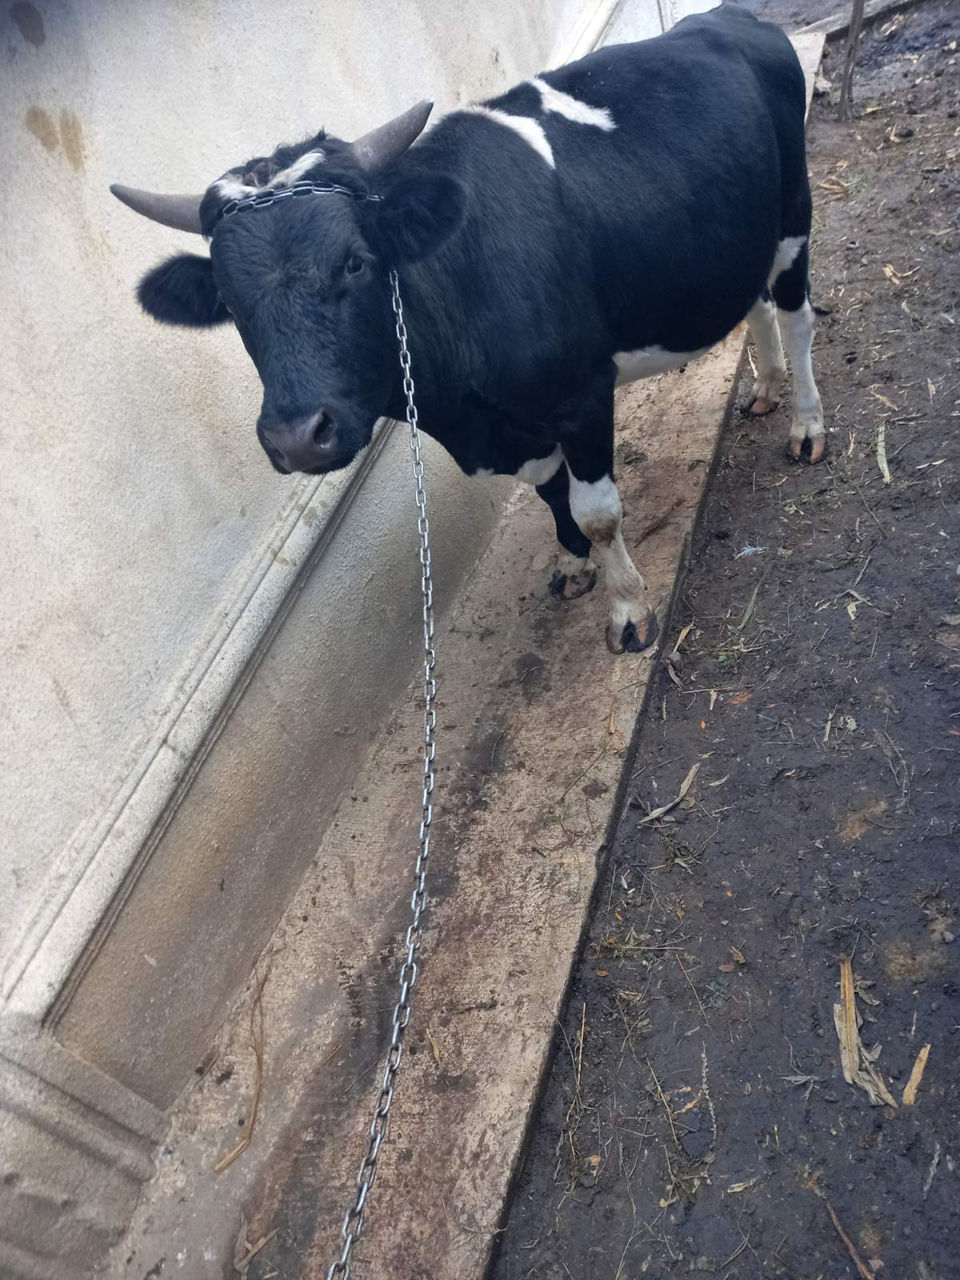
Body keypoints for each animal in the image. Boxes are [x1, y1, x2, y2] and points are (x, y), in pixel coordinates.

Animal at [112, 4, 824, 656]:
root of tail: (729, 17)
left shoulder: (581, 393)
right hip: (736, 240)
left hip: (793, 214)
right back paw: (765, 390)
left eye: (356, 261)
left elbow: (596, 512)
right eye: (230, 301)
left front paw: (628, 612)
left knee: (797, 317)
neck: (466, 414)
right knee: (757, 305)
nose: (296, 438)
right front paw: (571, 565)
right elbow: (552, 494)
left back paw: (806, 427)